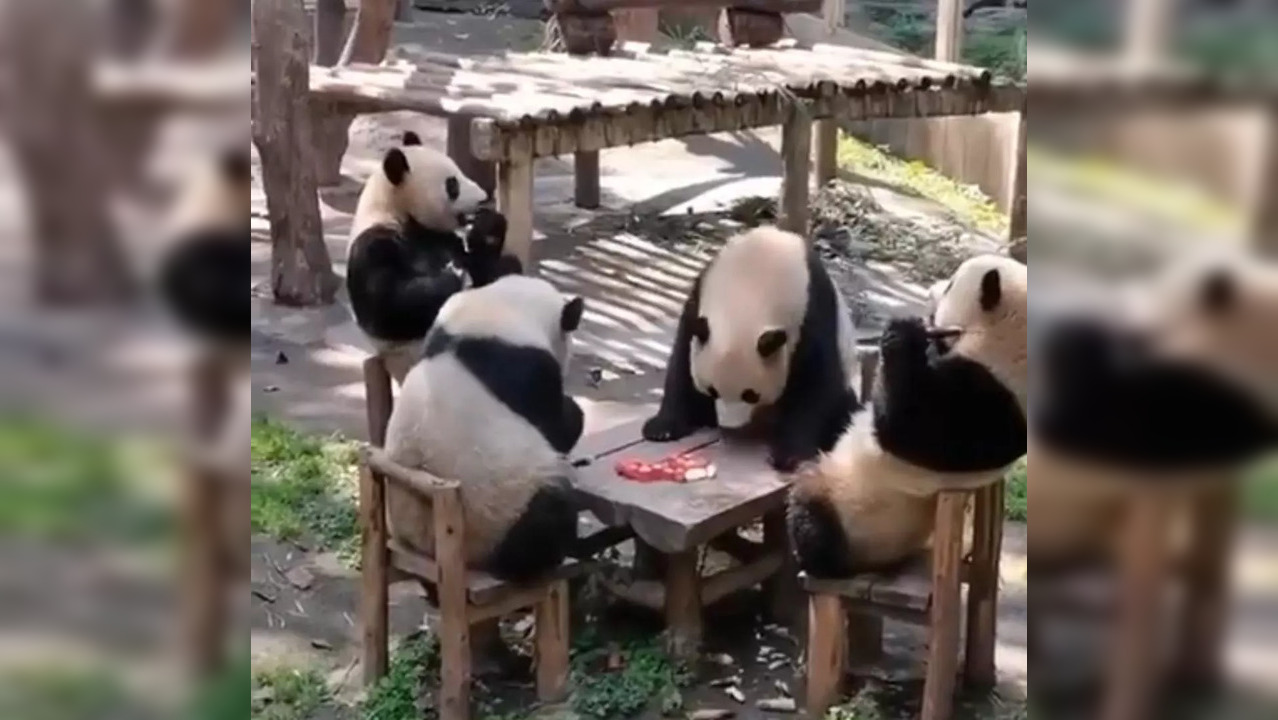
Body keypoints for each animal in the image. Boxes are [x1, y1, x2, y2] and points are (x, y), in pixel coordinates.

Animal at [346, 131, 519, 381]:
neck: (397, 211)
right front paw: (453, 274)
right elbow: (387, 306)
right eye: (452, 184)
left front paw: (488, 226)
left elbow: (484, 270)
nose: (483, 197)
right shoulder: (373, 245)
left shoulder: (444, 238)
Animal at [642, 226, 861, 472]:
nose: (729, 427)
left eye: (750, 395)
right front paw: (662, 428)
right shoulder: (700, 295)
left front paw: (790, 454)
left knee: (846, 408)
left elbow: (815, 382)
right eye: (712, 390)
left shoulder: (813, 312)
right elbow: (682, 361)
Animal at [788, 254, 1028, 577]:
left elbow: (910, 426)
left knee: (810, 509)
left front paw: (904, 334)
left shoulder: (992, 396)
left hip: (852, 508)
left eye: (951, 285)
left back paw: (818, 557)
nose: (931, 291)